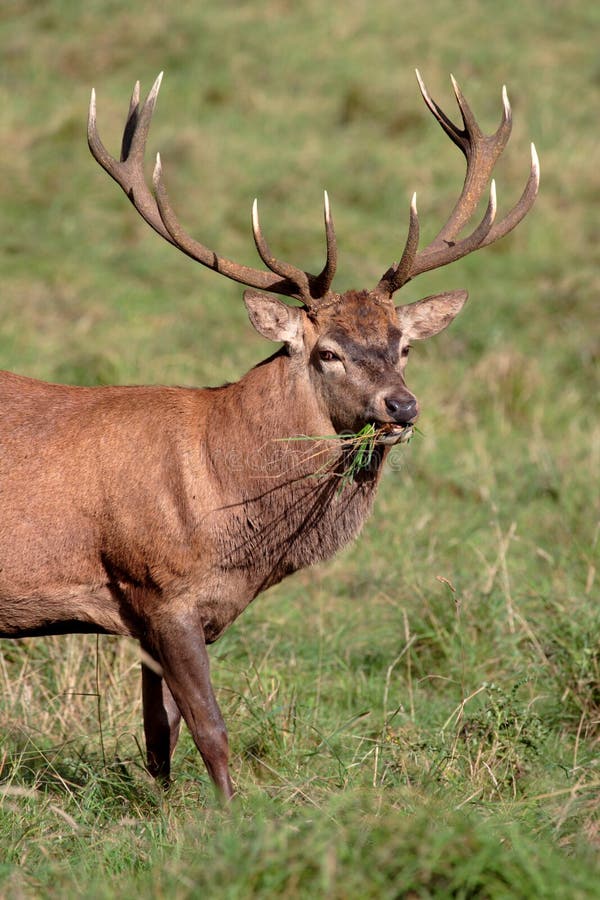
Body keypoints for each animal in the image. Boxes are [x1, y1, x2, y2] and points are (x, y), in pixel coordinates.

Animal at [0, 72, 538, 800]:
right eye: (328, 352)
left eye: (403, 346)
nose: (403, 406)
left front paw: (164, 812)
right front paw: (231, 816)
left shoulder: (177, 613)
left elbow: (160, 736)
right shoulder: (155, 585)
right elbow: (209, 728)